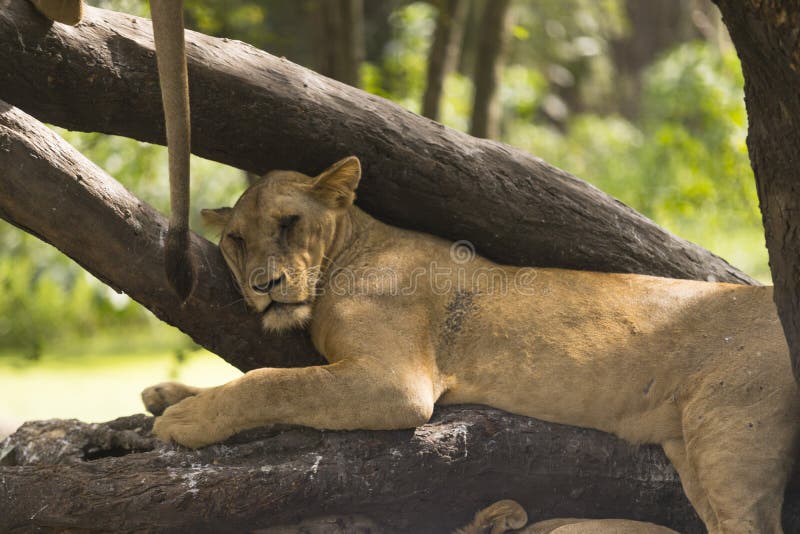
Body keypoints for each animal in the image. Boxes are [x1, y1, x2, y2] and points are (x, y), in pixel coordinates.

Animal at [142, 156, 799, 533]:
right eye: (235, 239)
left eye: (288, 224)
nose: (263, 287)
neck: (346, 253)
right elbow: (267, 380)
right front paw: (167, 394)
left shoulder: (396, 383)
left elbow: (271, 381)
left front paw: (185, 420)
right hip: (689, 450)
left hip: (731, 432)